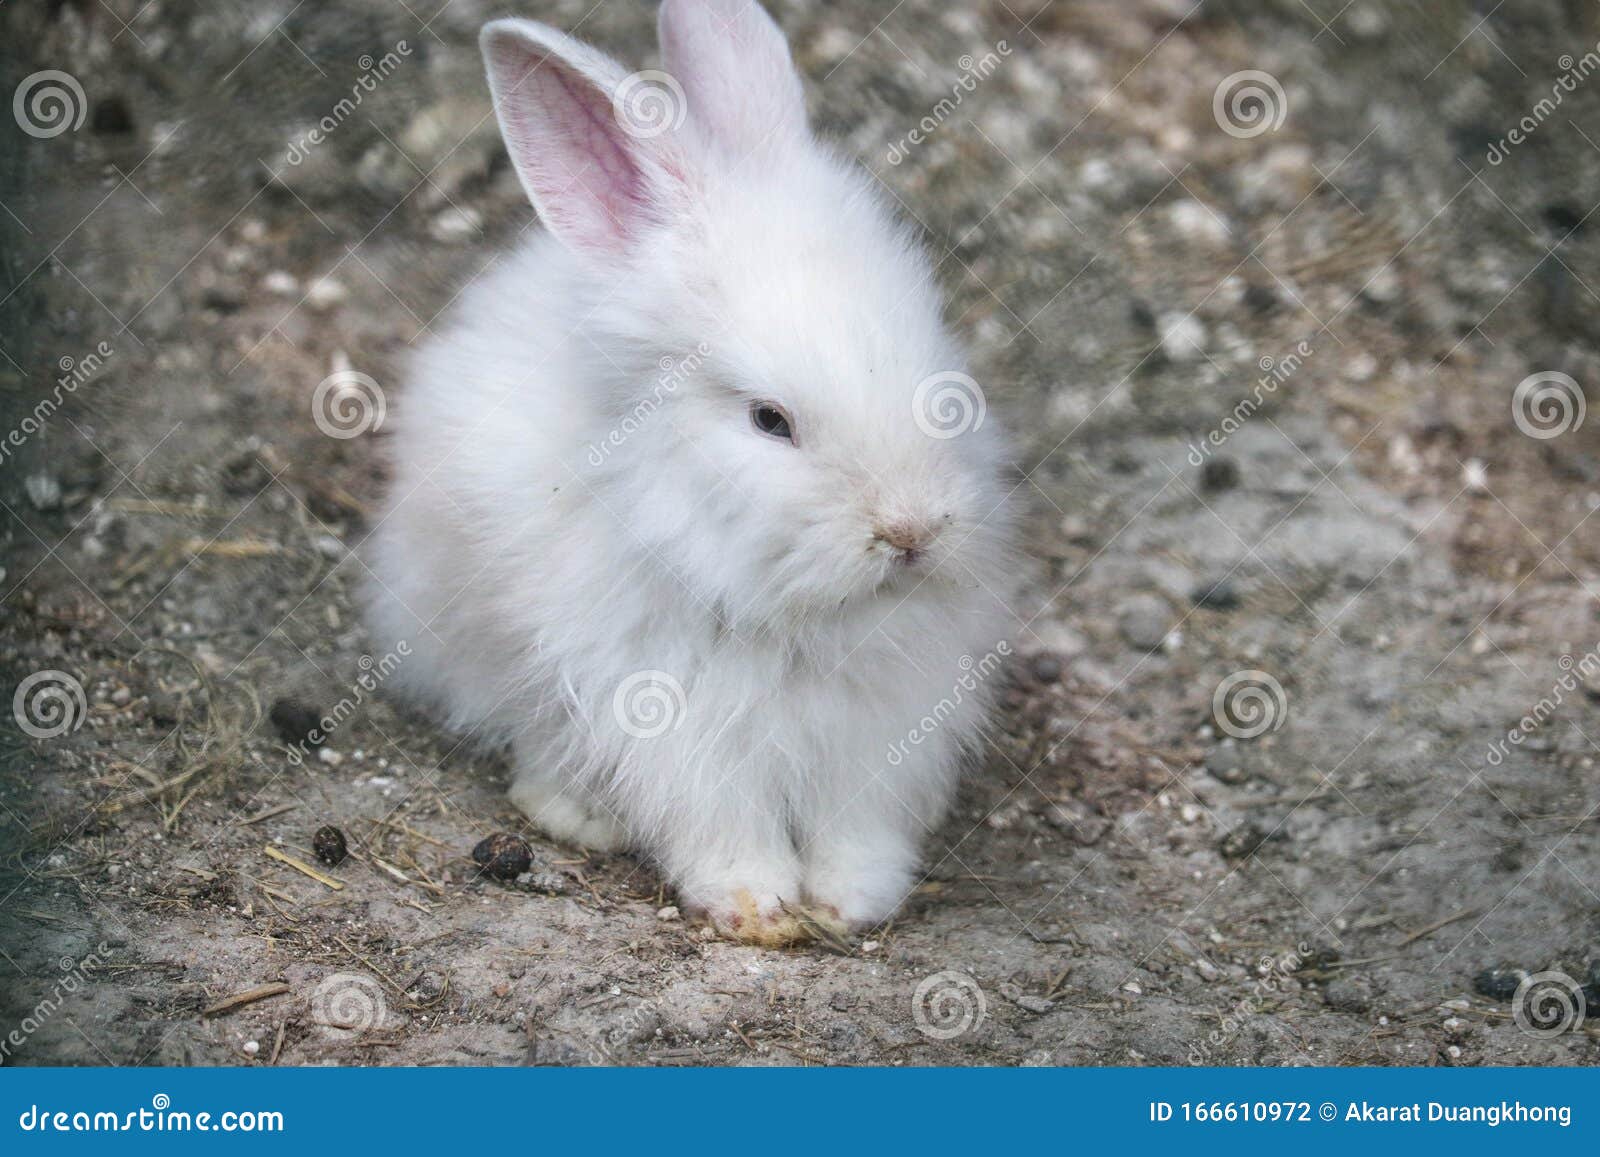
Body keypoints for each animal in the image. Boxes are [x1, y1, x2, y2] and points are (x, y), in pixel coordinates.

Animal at [365, 0, 1019, 945]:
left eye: (939, 360)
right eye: (768, 420)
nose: (911, 530)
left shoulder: (881, 730)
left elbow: (855, 825)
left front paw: (851, 900)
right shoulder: (669, 721)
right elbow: (719, 821)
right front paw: (752, 903)